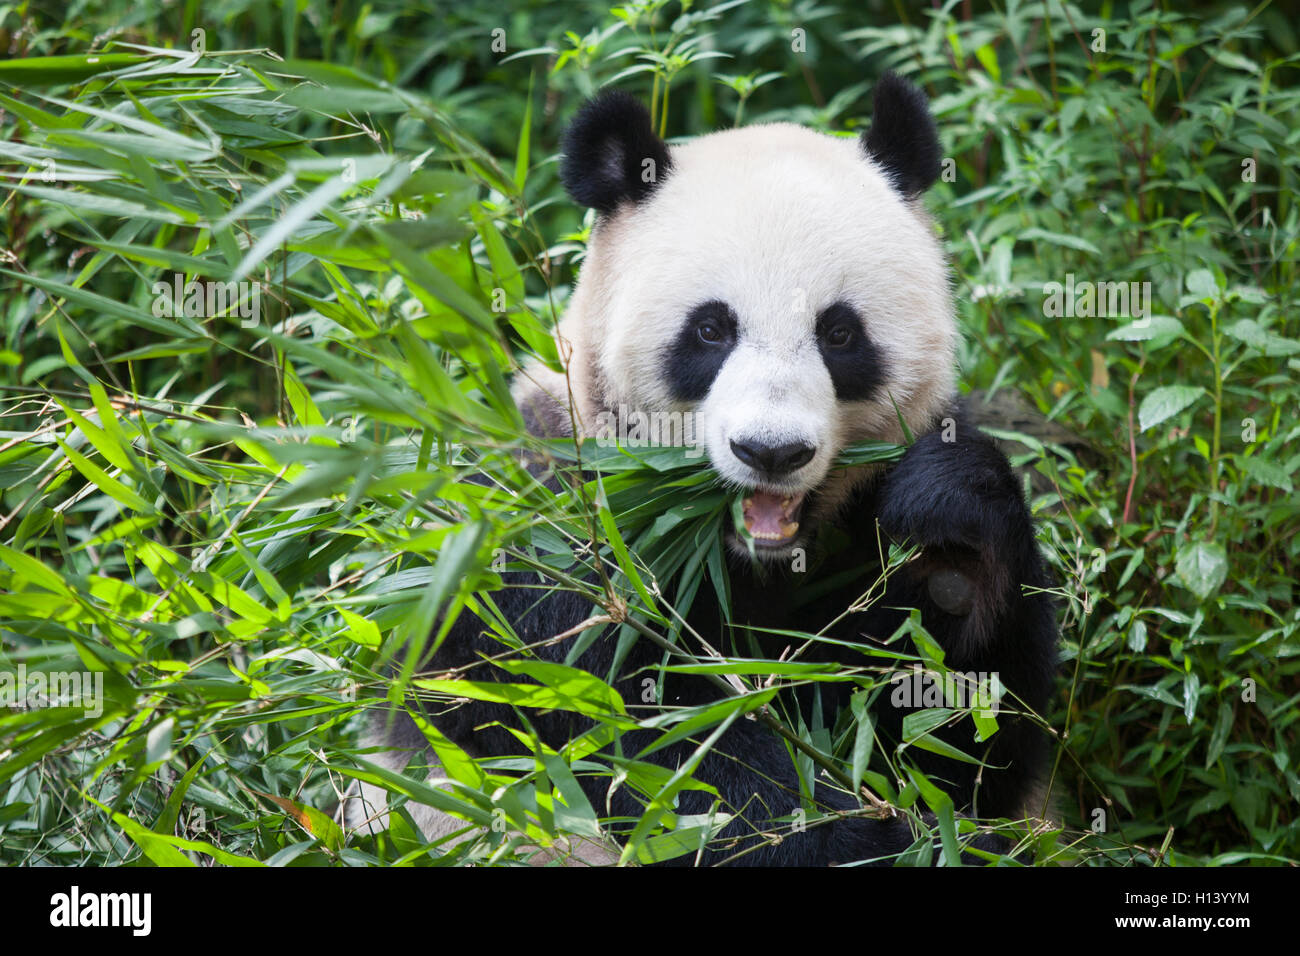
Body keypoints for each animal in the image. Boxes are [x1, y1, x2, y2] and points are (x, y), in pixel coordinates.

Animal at [348, 72, 1059, 866]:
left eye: (840, 333)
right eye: (712, 329)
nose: (772, 451)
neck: (747, 557)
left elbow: (962, 740)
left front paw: (952, 546)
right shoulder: (556, 535)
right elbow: (660, 742)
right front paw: (868, 836)